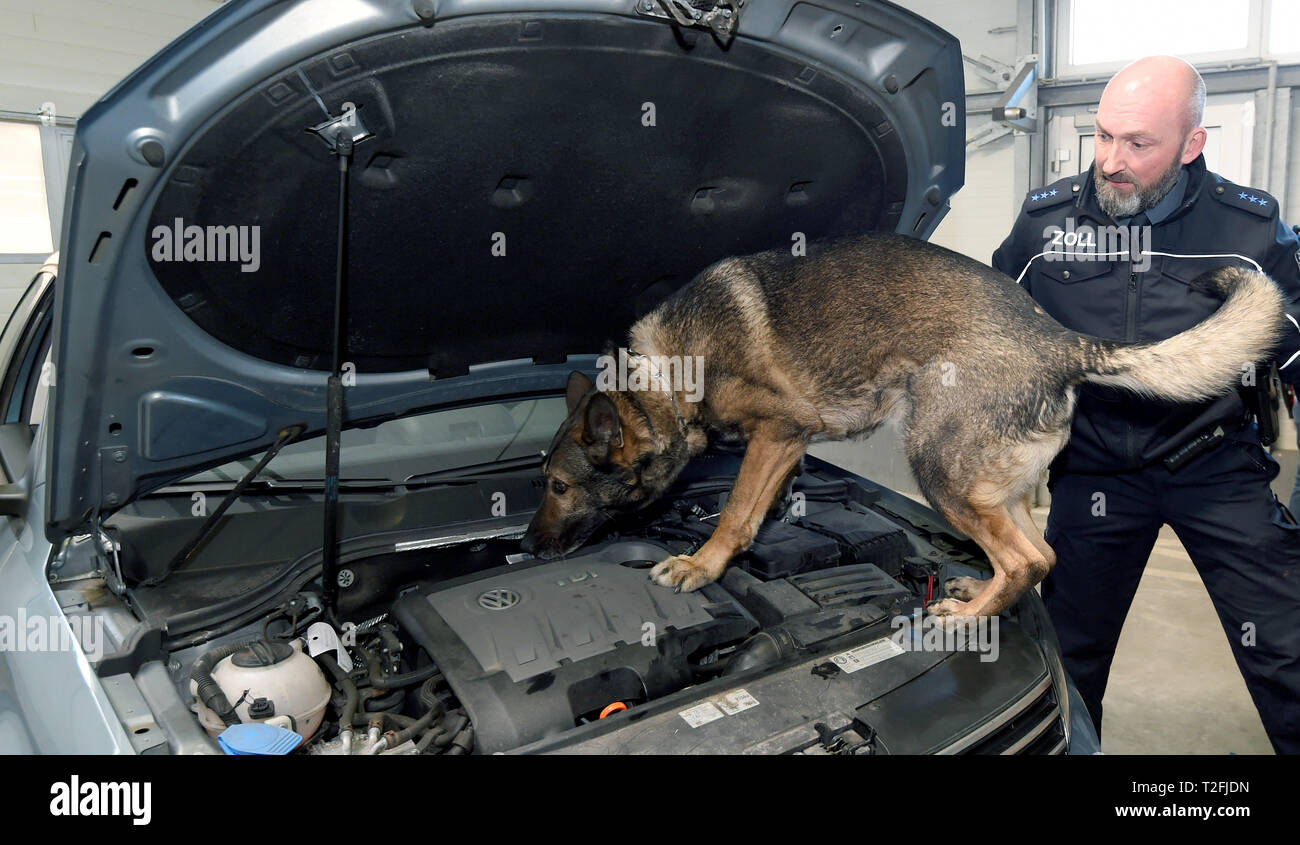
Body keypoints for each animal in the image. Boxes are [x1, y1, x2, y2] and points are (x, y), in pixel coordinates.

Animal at [520, 233, 1289, 616]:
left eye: (558, 486)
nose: (524, 547)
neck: (668, 372)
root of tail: (1061, 342)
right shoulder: (787, 444)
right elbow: (755, 509)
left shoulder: (779, 430)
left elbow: (736, 513)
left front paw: (701, 565)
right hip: (997, 487)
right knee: (1035, 555)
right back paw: (981, 595)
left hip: (938, 466)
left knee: (1029, 559)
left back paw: (970, 618)